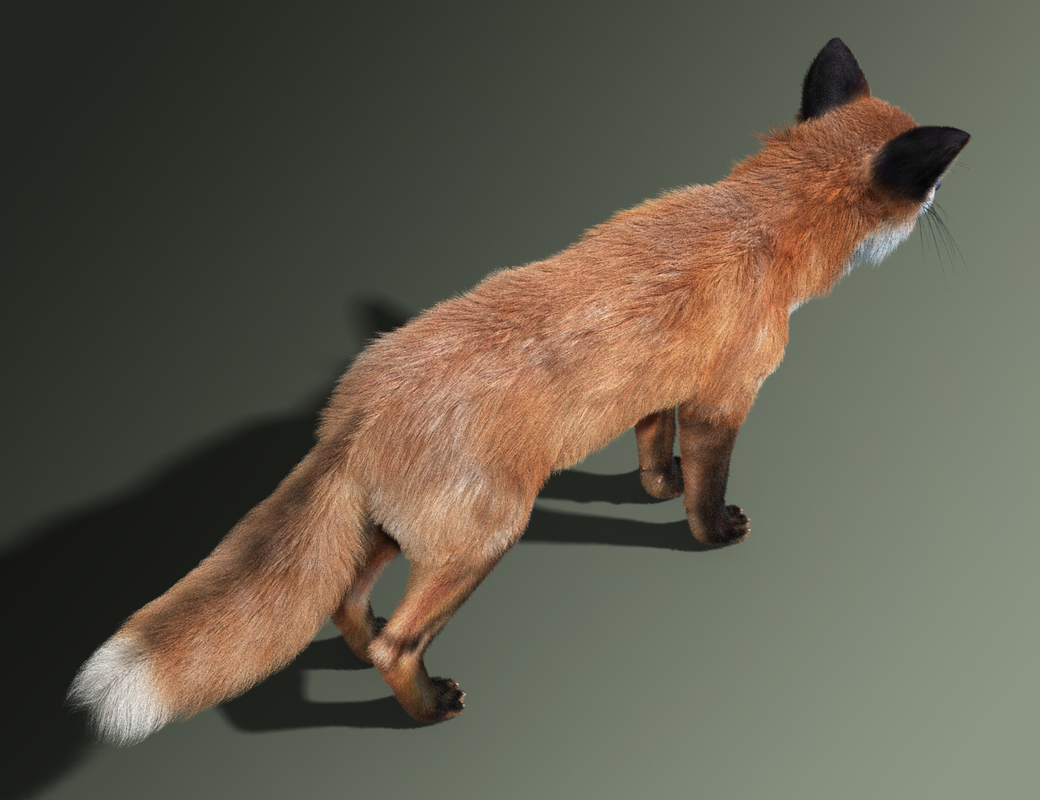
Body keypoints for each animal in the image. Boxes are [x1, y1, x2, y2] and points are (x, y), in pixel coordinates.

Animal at [68, 38, 969, 745]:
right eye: (930, 184)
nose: (945, 209)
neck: (762, 222)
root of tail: (352, 414)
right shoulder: (722, 401)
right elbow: (707, 491)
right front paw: (712, 531)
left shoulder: (658, 391)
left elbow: (654, 453)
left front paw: (656, 486)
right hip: (485, 540)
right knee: (397, 641)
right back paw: (428, 707)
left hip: (391, 534)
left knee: (348, 606)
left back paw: (368, 647)